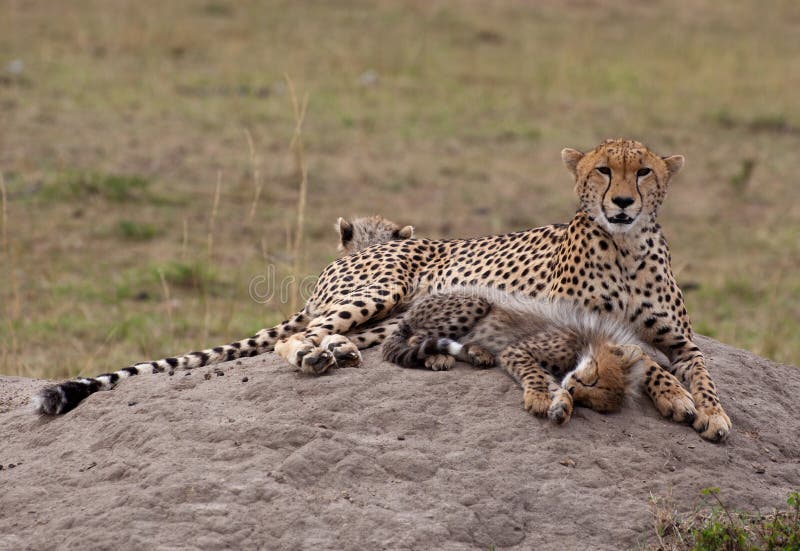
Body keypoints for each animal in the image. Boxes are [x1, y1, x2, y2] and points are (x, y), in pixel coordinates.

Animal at [381, 286, 694, 425]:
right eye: (593, 379)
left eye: (591, 400)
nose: (574, 389)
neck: (589, 339)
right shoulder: (518, 350)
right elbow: (535, 375)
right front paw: (541, 399)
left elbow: (554, 383)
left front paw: (562, 404)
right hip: (473, 303)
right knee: (416, 337)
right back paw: (438, 357)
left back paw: (478, 353)